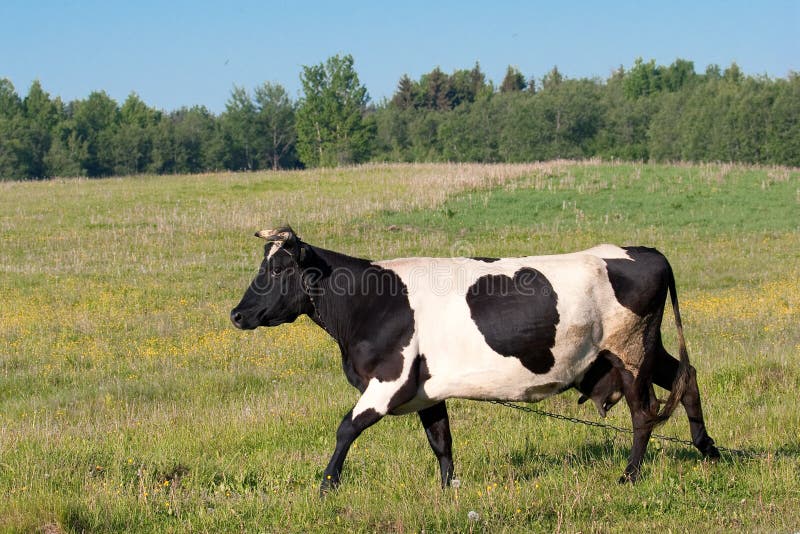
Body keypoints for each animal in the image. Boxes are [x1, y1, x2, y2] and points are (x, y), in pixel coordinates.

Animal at [230, 226, 720, 494]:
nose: (236, 314)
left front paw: (326, 485)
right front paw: (449, 489)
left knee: (644, 412)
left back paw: (630, 475)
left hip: (630, 352)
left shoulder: (390, 380)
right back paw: (708, 449)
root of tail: (645, 251)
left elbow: (346, 428)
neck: (371, 301)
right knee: (687, 376)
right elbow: (441, 441)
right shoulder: (427, 390)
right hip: (646, 350)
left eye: (277, 269)